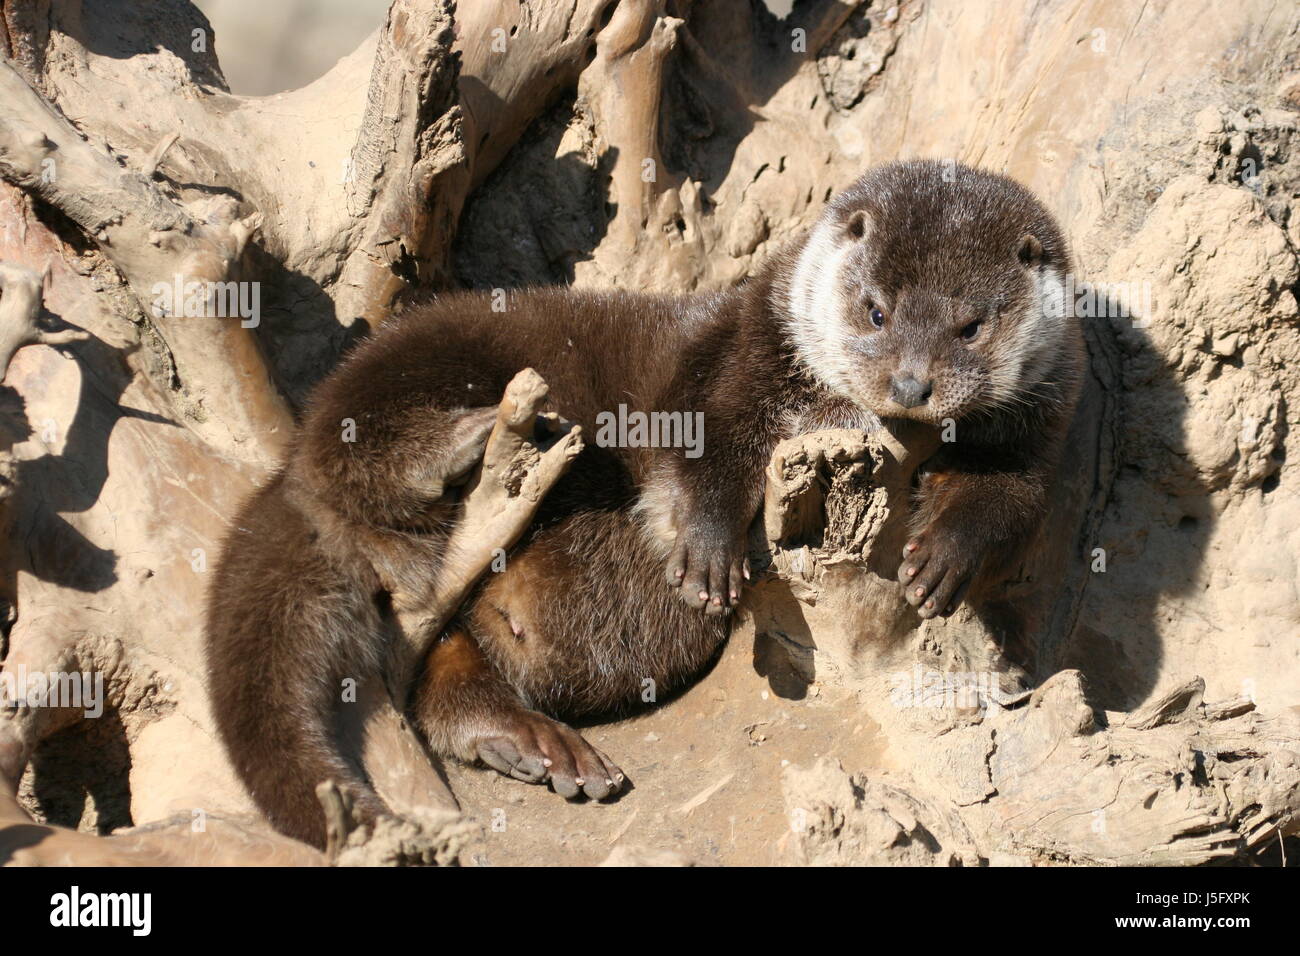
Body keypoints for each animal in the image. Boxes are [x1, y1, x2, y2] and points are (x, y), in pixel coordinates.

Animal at [205, 160, 1083, 847]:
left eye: (971, 327)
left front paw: (946, 554)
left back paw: (529, 743)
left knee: (444, 681)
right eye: (874, 309)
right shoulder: (737, 355)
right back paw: (466, 440)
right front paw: (706, 551)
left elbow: (1014, 493)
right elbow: (708, 447)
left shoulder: (1043, 417)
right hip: (420, 360)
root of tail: (288, 469)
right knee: (355, 454)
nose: (909, 384)